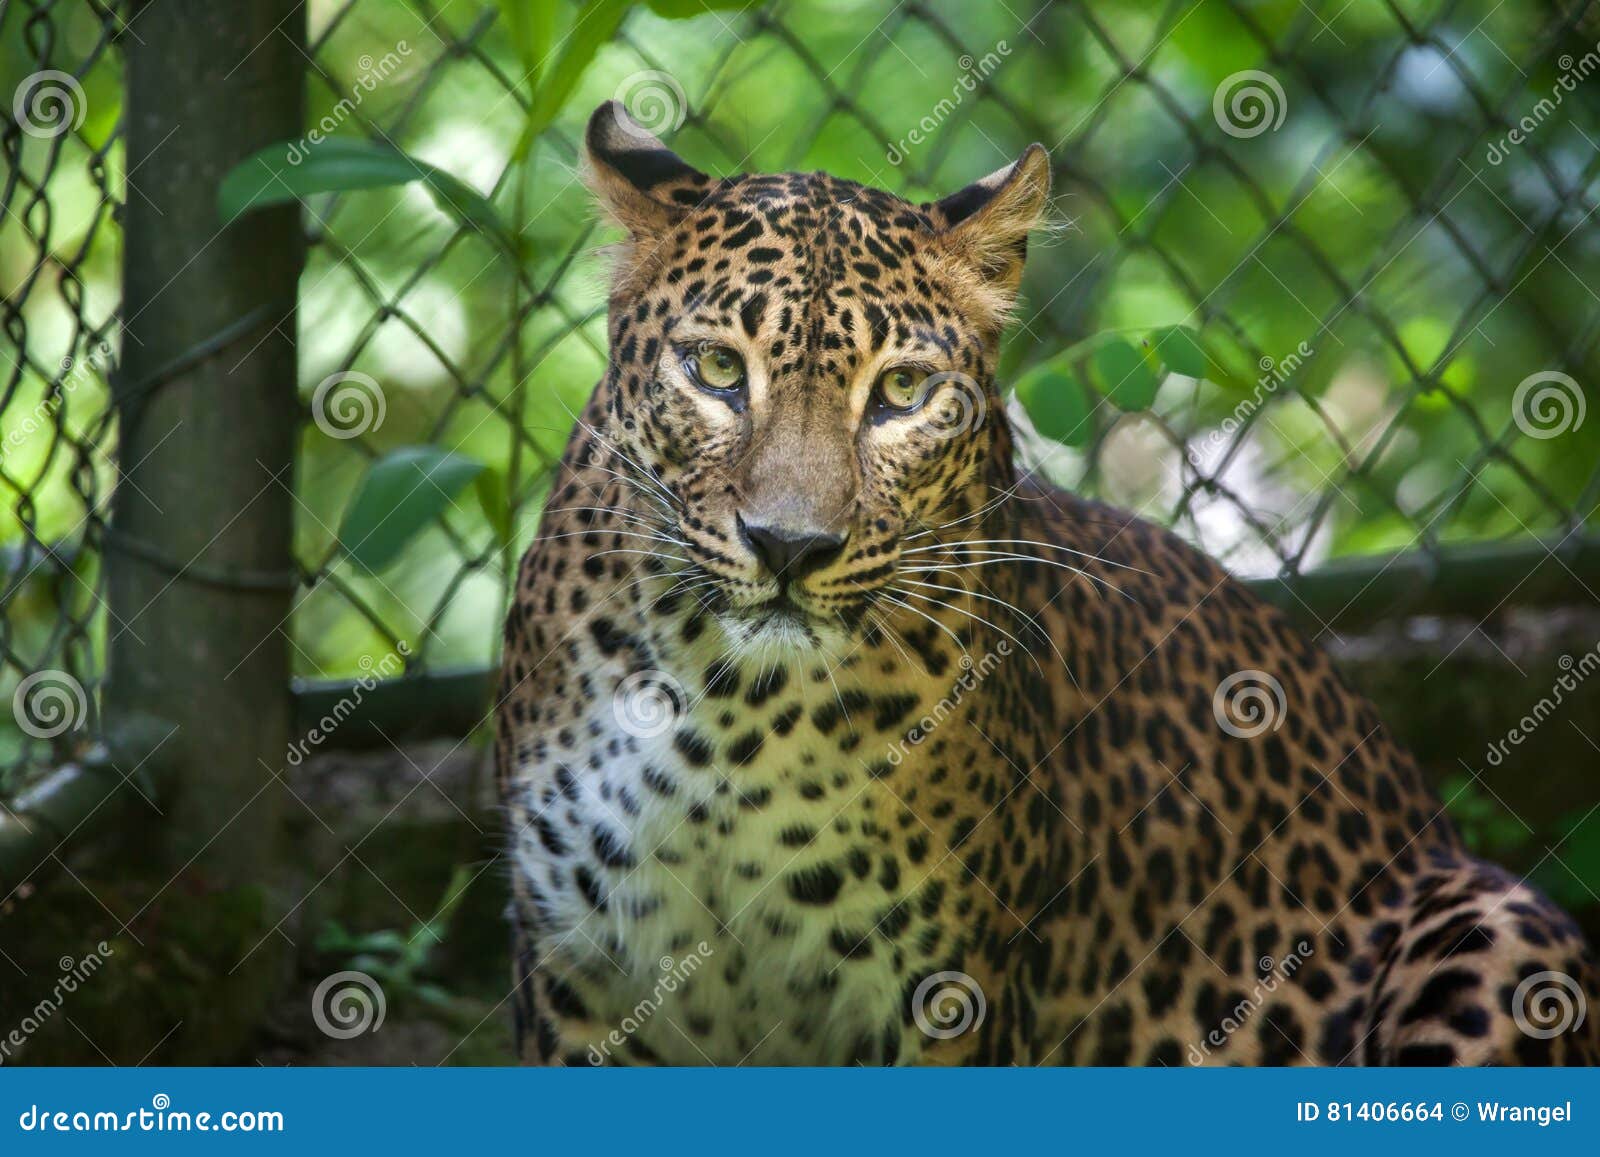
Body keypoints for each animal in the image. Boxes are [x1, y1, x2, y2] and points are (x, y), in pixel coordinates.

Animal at [494, 99, 1600, 1066]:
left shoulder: (950, 994)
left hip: (1500, 924)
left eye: (903, 391)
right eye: (718, 369)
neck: (734, 722)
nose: (788, 546)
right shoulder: (575, 978)